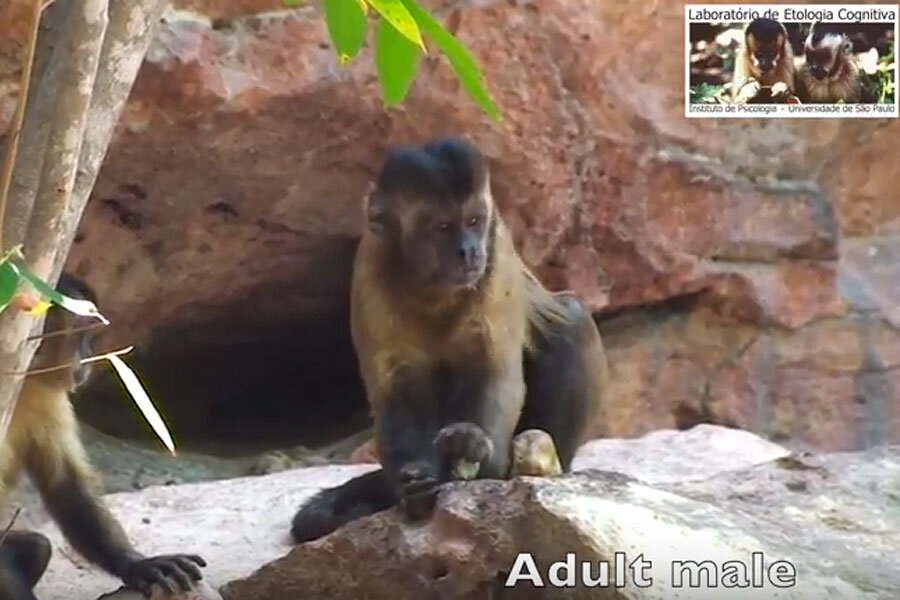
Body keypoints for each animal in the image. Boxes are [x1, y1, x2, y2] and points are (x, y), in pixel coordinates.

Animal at [0, 273, 206, 599]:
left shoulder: (44, 391)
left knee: (38, 548)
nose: (87, 356)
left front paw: (137, 565)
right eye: (83, 337)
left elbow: (68, 487)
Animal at [290, 136, 608, 543]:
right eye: (442, 227)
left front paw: (476, 453)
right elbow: (396, 389)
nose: (468, 250)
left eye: (473, 222)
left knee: (571, 320)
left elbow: (495, 372)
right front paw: (409, 489)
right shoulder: (372, 265)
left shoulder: (496, 250)